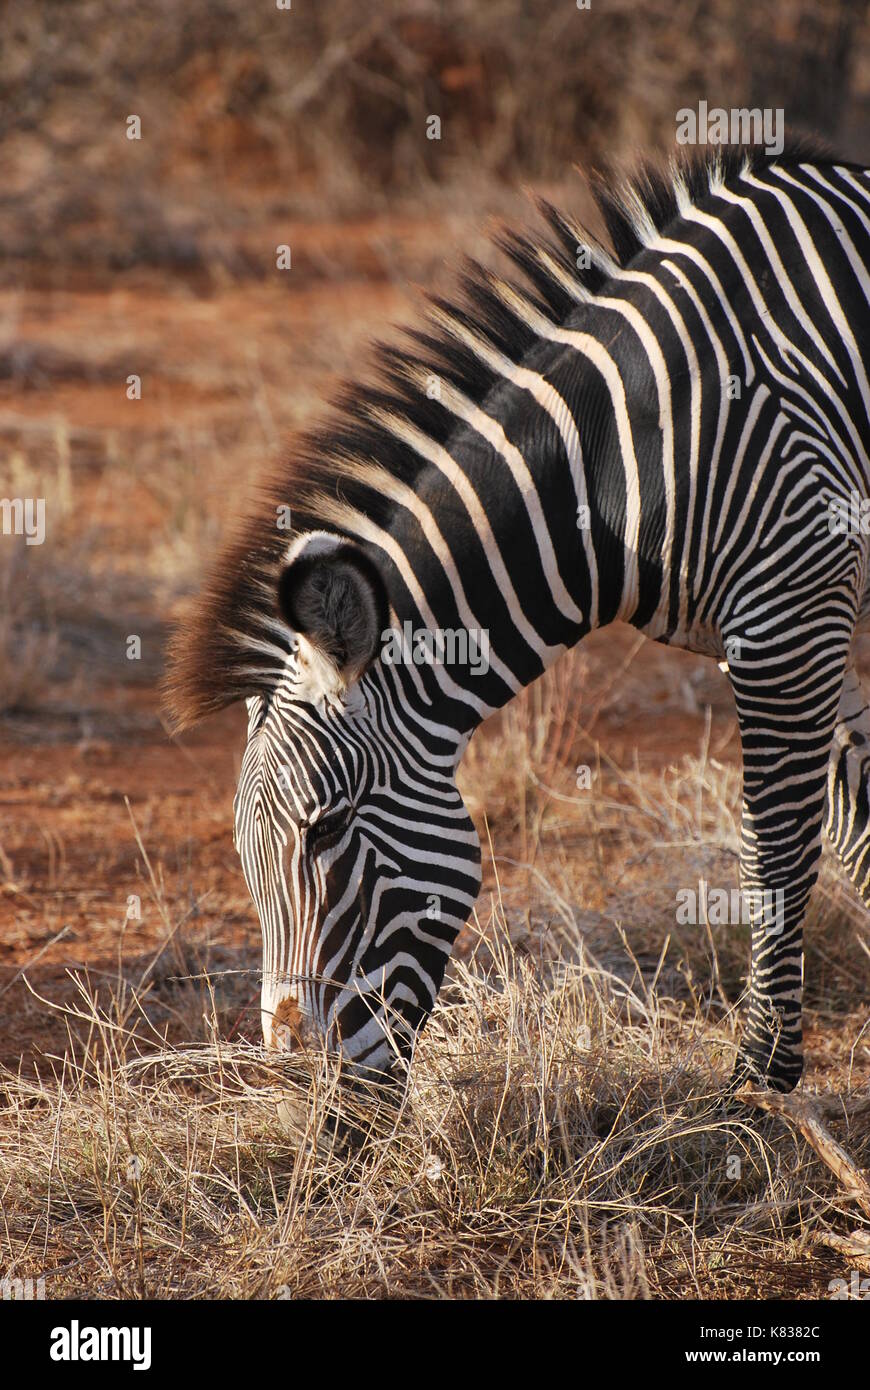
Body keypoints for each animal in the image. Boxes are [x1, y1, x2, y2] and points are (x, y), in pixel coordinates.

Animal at [166, 139, 870, 1094]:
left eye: (328, 830)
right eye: (242, 851)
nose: (301, 1076)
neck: (622, 457)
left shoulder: (792, 611)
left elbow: (779, 842)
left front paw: (759, 1079)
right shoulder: (786, 624)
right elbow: (854, 811)